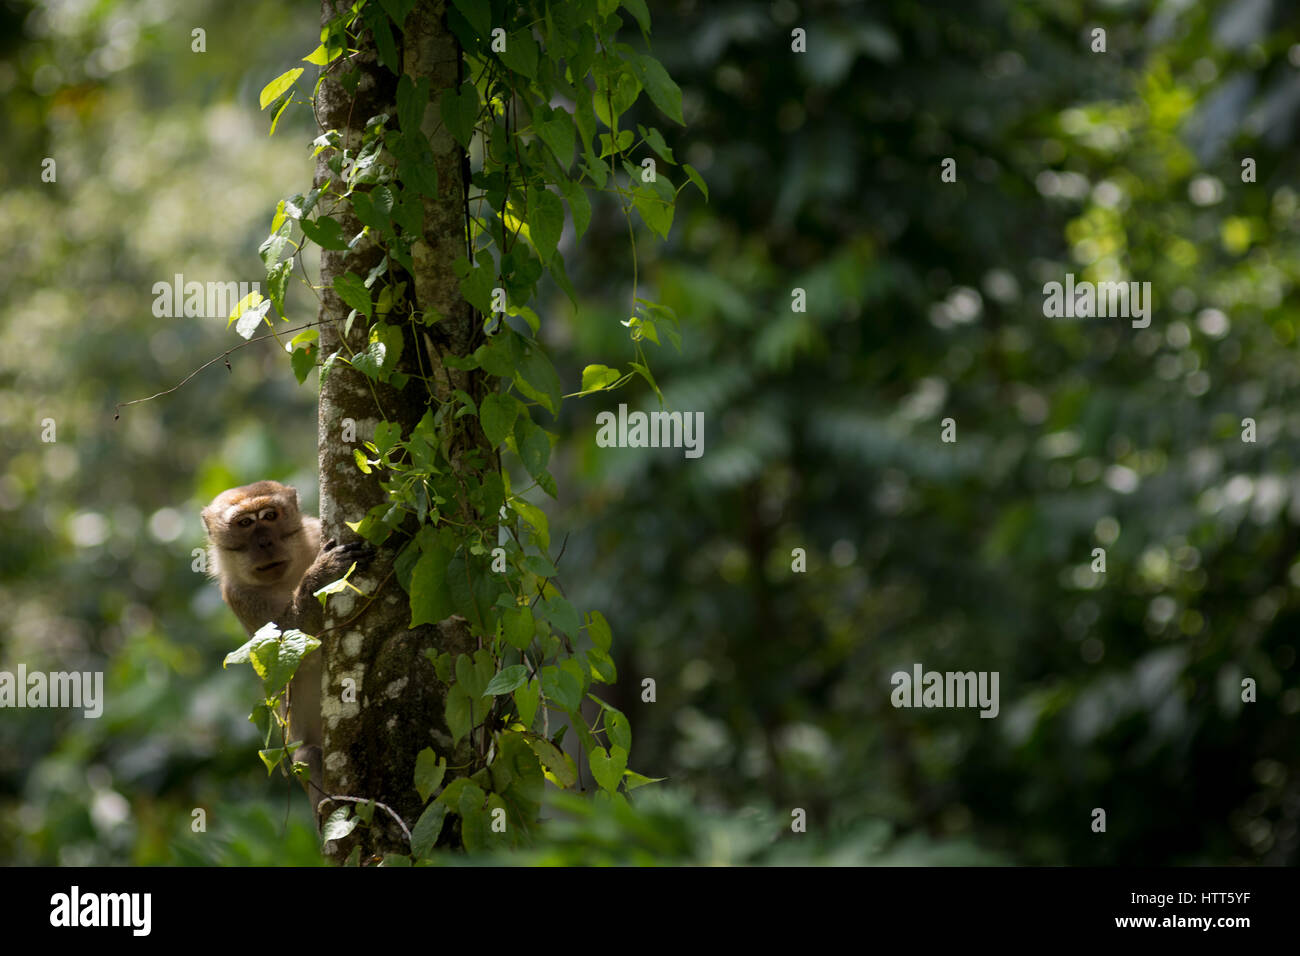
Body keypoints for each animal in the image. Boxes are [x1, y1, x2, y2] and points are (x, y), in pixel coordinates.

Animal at [201, 480, 371, 805]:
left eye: (269, 516)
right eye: (244, 523)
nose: (264, 543)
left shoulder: (317, 532)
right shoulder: (238, 594)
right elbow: (287, 644)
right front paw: (319, 575)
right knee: (309, 755)